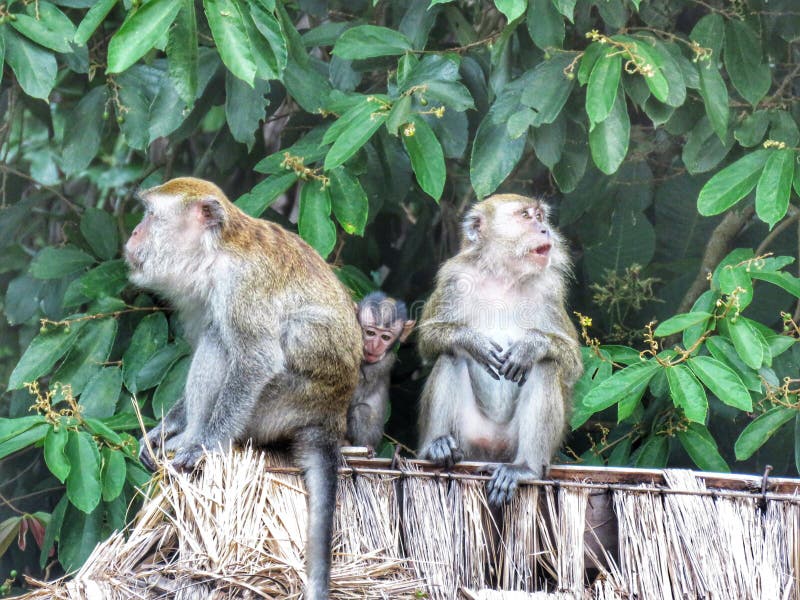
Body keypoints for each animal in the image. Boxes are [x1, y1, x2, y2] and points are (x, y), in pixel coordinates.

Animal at [124, 177, 361, 600]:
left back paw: (191, 440)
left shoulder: (241, 284)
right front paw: (162, 430)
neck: (215, 252)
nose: (134, 232)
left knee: (222, 342)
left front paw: (202, 445)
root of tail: (331, 417)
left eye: (150, 215)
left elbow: (255, 359)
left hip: (281, 405)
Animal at [416, 194, 583, 507]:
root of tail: (491, 451)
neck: (504, 277)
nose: (545, 230)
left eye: (540, 216)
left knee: (545, 367)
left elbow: (571, 362)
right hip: (468, 438)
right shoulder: (454, 278)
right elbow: (428, 342)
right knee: (450, 356)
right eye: (525, 216)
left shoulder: (550, 290)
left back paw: (525, 468)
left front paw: (530, 347)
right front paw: (473, 342)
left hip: (513, 444)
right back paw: (437, 446)